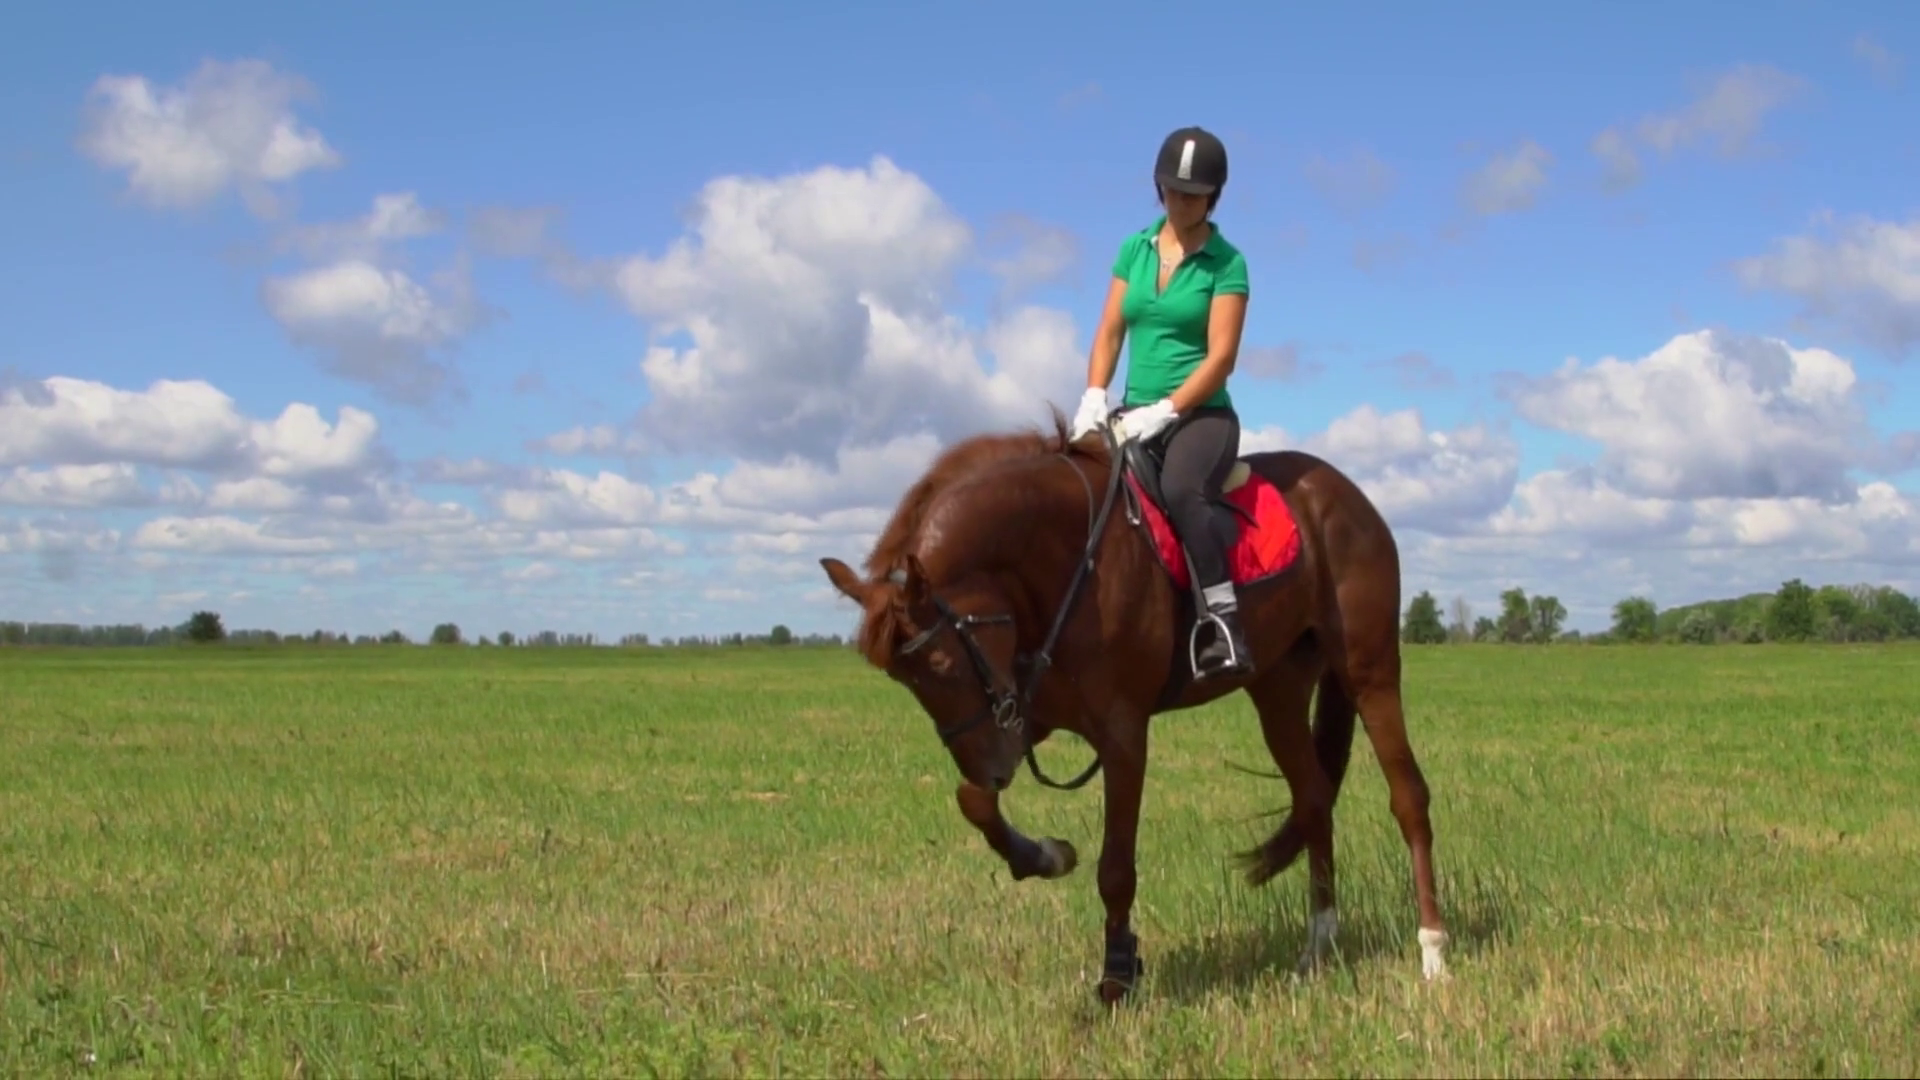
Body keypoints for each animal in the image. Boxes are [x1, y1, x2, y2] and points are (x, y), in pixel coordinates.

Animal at [817, 408, 1449, 1004]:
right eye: (902, 679)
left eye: (943, 664)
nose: (998, 769)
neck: (1063, 558)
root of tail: (1346, 494)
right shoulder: (1028, 713)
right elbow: (972, 802)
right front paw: (1044, 856)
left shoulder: (1121, 732)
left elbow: (1115, 867)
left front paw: (1119, 975)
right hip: (1278, 691)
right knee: (1315, 799)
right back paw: (1318, 946)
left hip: (1369, 673)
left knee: (1408, 798)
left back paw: (1433, 951)